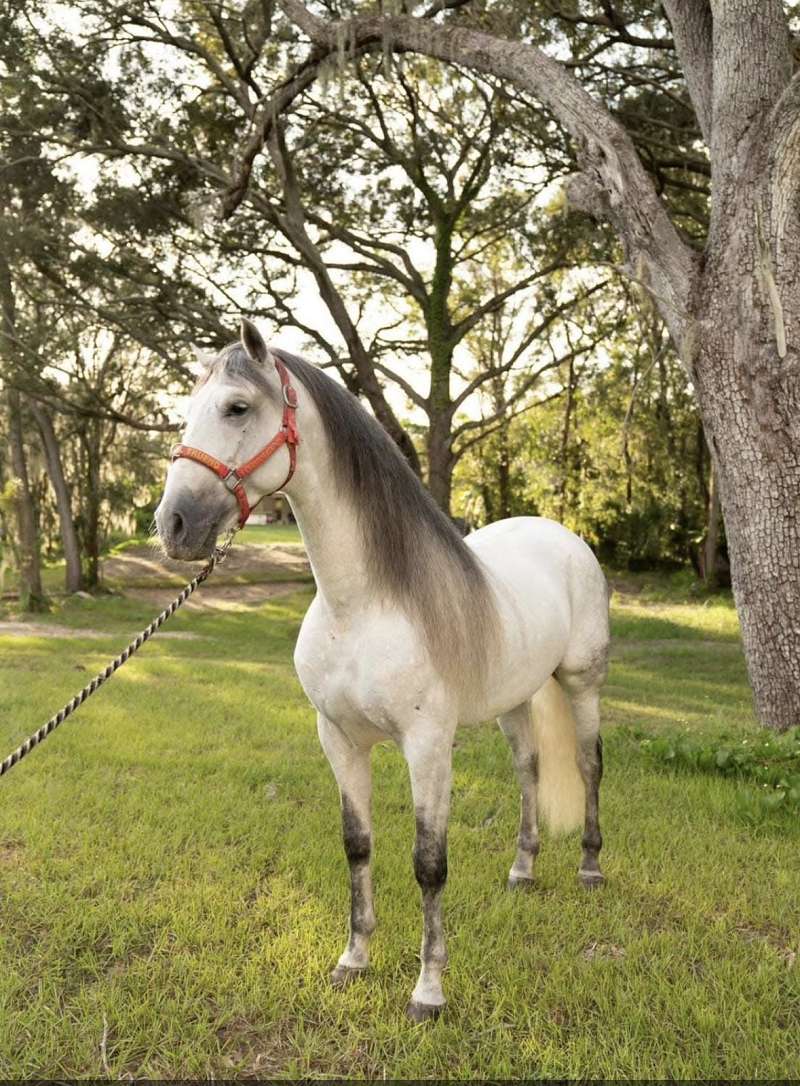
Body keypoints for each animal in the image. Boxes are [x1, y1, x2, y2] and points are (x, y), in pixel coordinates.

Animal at [156, 318, 610, 1023]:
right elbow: (358, 844)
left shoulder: (427, 746)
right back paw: (522, 871)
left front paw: (428, 990)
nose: (174, 525)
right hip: (515, 700)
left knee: (588, 765)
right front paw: (354, 959)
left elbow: (429, 863)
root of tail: (562, 535)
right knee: (529, 771)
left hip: (582, 681)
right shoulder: (339, 739)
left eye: (236, 407)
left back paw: (589, 868)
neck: (363, 605)